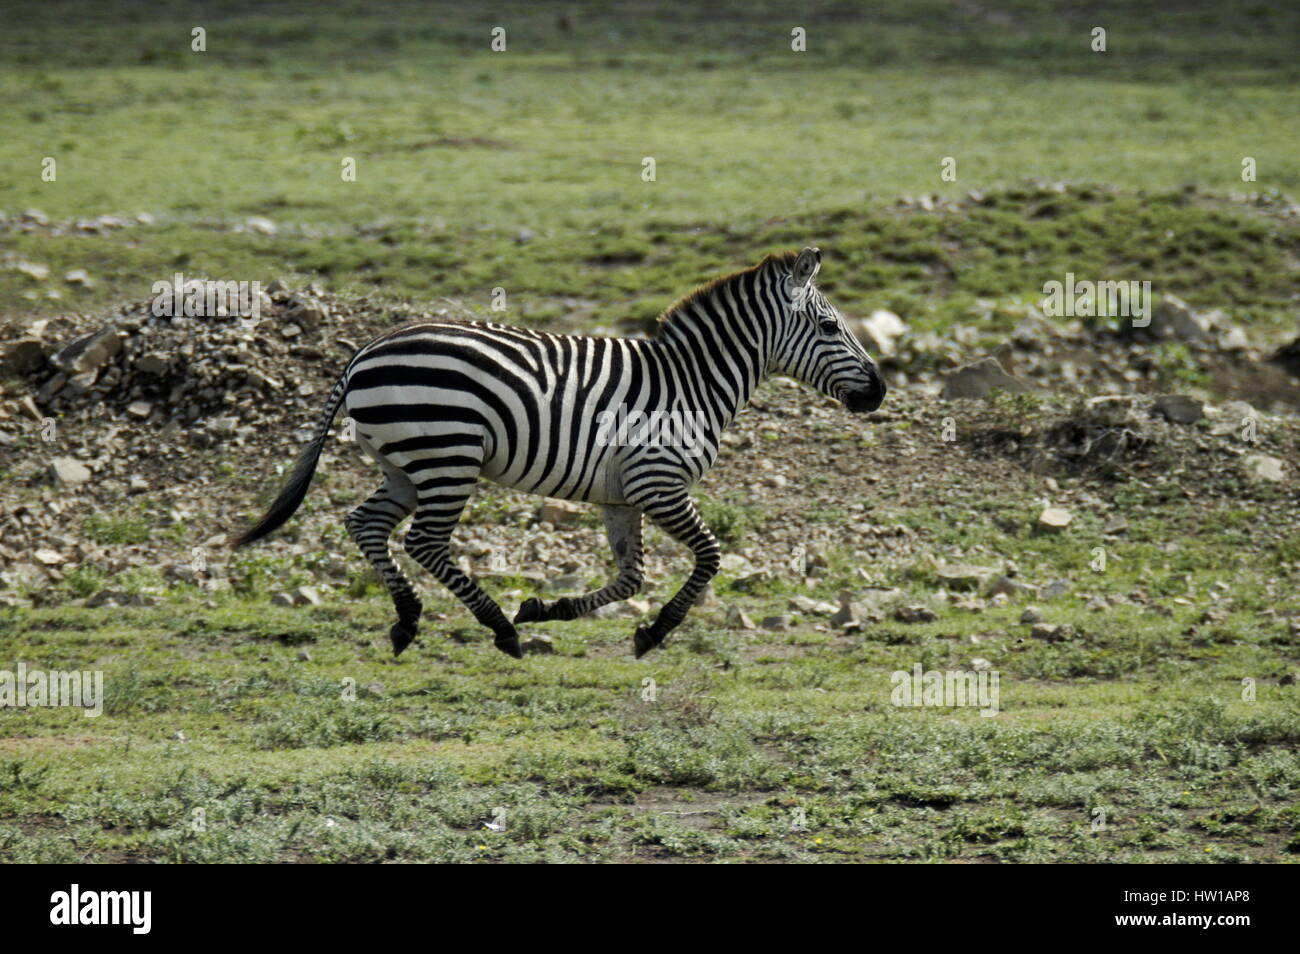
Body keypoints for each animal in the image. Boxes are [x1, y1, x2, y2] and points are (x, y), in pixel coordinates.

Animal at [233, 247, 886, 659]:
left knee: (365, 523)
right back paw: (498, 630)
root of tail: (364, 351)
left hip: (403, 464)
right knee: (424, 542)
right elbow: (708, 558)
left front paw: (549, 610)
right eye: (830, 328)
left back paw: (408, 620)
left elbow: (629, 577)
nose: (879, 392)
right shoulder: (658, 482)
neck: (692, 382)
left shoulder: (621, 496)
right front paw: (656, 633)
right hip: (447, 454)